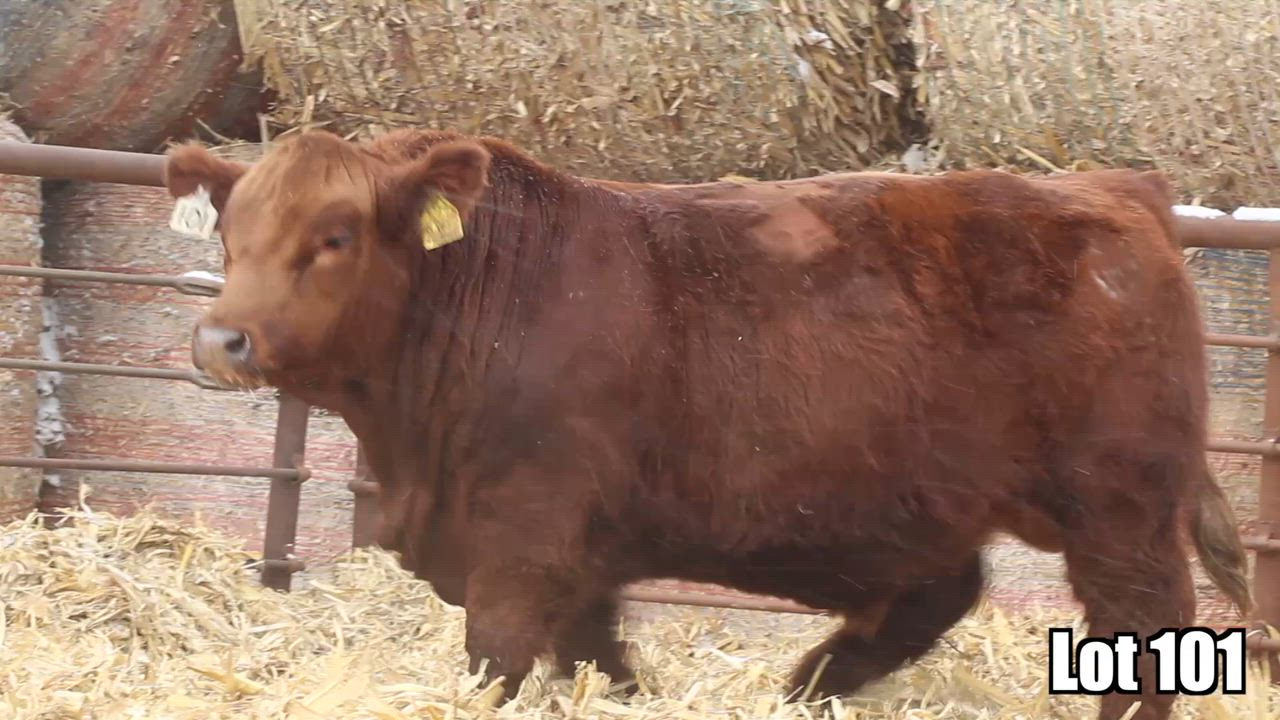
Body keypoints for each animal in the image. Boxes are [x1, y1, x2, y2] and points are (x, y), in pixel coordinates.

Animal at [163, 127, 1252, 720]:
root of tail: (1115, 188)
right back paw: (808, 682)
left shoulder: (523, 542)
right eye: (230, 231)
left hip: (1117, 509)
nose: (223, 339)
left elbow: (499, 660)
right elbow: (600, 660)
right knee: (938, 596)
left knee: (1144, 628)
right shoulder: (582, 559)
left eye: (336, 235)